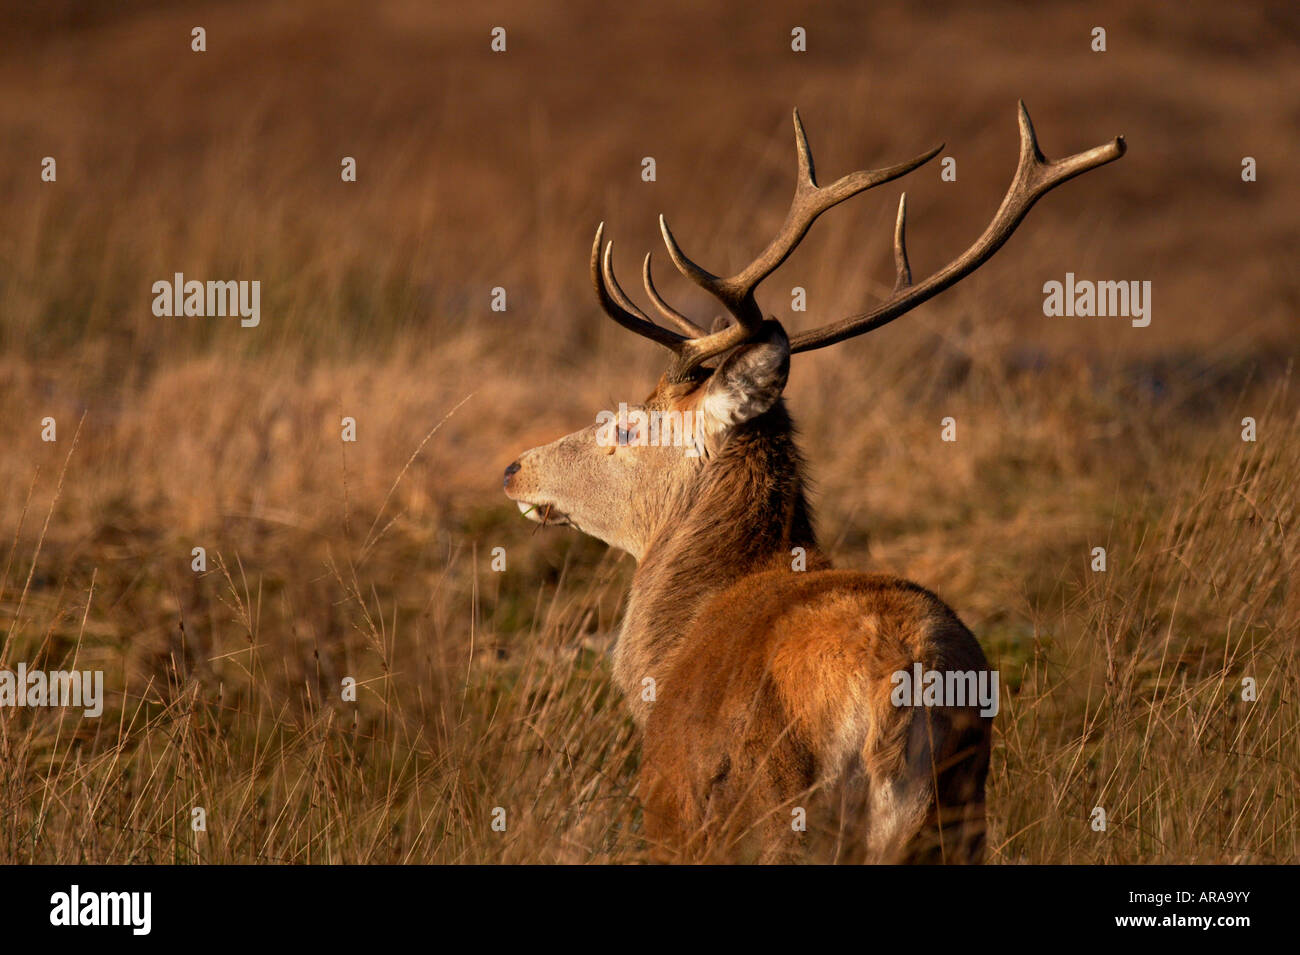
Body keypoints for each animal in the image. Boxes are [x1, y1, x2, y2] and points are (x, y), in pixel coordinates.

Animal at [503, 103, 1124, 863]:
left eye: (625, 427)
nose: (516, 467)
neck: (668, 649)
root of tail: (896, 689)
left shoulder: (673, 814)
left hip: (775, 811)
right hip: (956, 815)